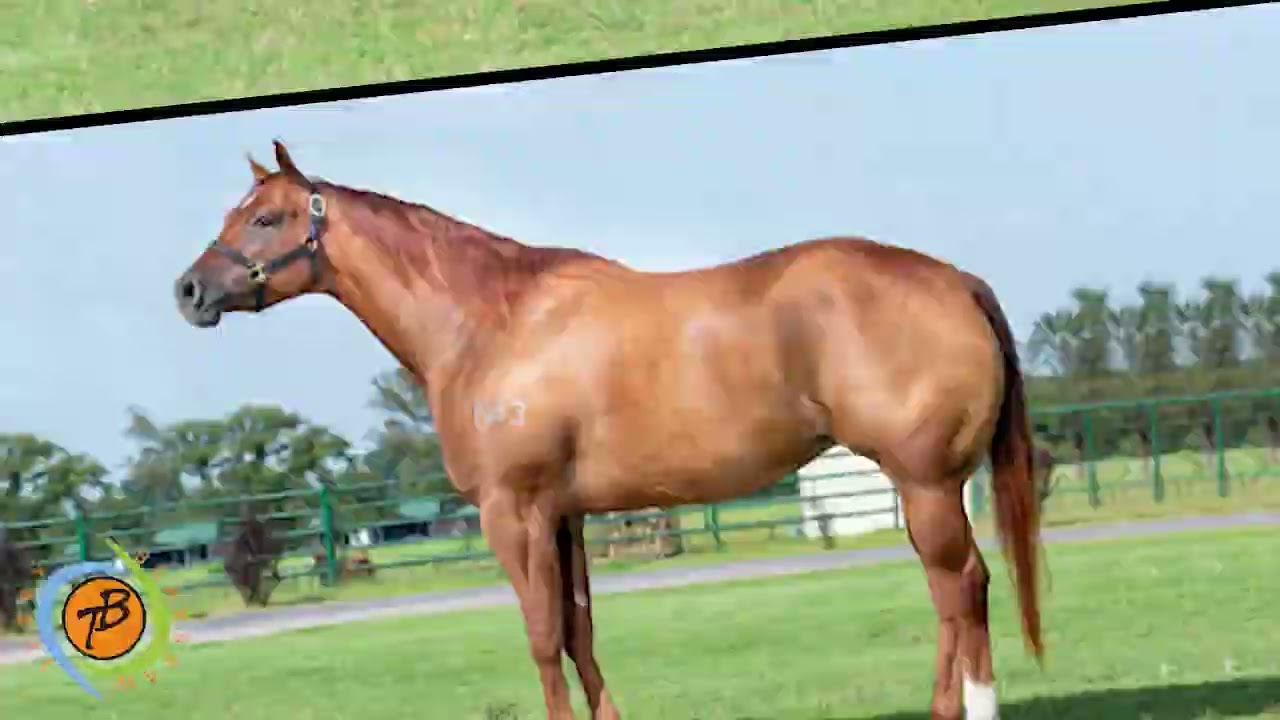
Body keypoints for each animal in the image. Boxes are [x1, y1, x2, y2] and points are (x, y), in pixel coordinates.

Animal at [172, 140, 1043, 720]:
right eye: (234, 214)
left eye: (268, 217)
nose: (189, 290)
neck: (492, 323)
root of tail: (955, 281)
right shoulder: (565, 517)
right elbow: (578, 635)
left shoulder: (514, 512)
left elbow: (539, 636)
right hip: (926, 487)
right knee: (951, 597)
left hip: (926, 483)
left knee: (962, 589)